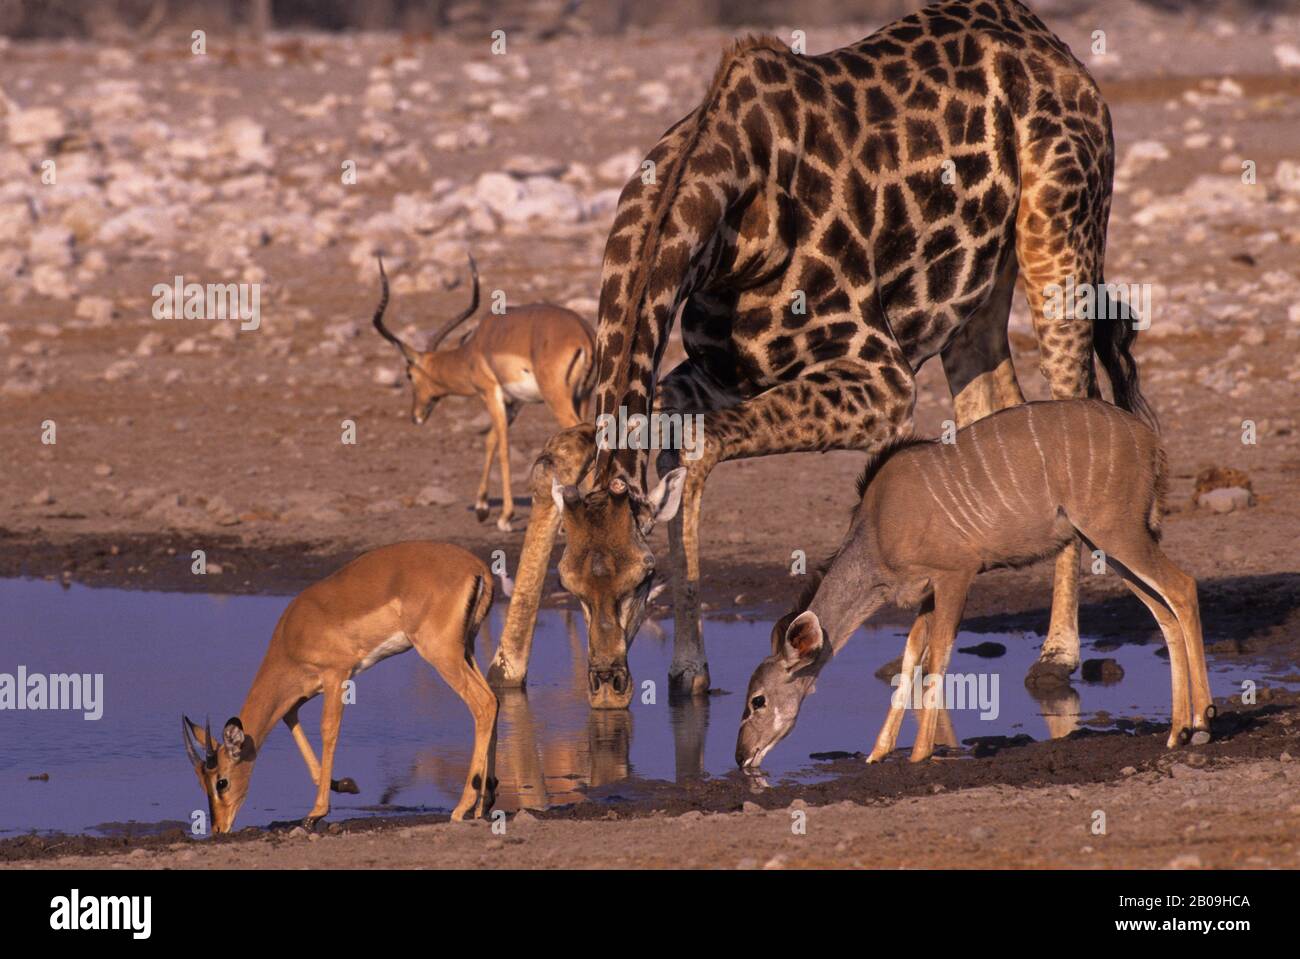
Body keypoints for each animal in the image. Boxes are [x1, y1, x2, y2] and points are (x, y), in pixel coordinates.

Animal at [182, 541, 500, 833]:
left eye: (221, 781)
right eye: (200, 781)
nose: (218, 829)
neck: (291, 635)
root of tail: (478, 567)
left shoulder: (336, 676)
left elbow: (328, 729)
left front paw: (315, 813)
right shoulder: (303, 693)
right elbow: (290, 720)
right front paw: (345, 784)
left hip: (441, 654)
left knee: (482, 704)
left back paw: (461, 808)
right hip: (466, 649)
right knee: (494, 698)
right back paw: (483, 805)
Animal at [372, 255, 597, 532]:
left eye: (409, 375)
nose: (416, 416)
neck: (474, 348)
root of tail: (584, 335)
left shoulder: (491, 393)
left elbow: (503, 446)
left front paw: (505, 517)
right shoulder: (515, 403)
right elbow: (491, 439)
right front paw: (481, 507)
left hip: (558, 400)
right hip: (583, 396)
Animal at [489, 0, 1152, 707]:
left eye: (643, 577)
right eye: (569, 583)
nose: (609, 685)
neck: (726, 215)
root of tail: (1052, 45)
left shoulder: (884, 379)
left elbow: (696, 448)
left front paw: (689, 671)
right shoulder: (722, 370)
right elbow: (590, 448)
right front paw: (507, 667)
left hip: (1060, 242)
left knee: (1073, 400)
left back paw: (1057, 656)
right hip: (975, 299)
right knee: (998, 412)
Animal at [736, 399, 1213, 770]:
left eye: (758, 699)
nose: (741, 757)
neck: (879, 526)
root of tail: (1150, 441)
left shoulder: (956, 575)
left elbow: (938, 658)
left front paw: (920, 754)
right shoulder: (926, 594)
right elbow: (910, 658)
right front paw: (876, 753)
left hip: (1117, 533)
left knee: (1183, 587)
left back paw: (1203, 723)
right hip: (1107, 545)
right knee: (1163, 609)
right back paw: (1176, 730)